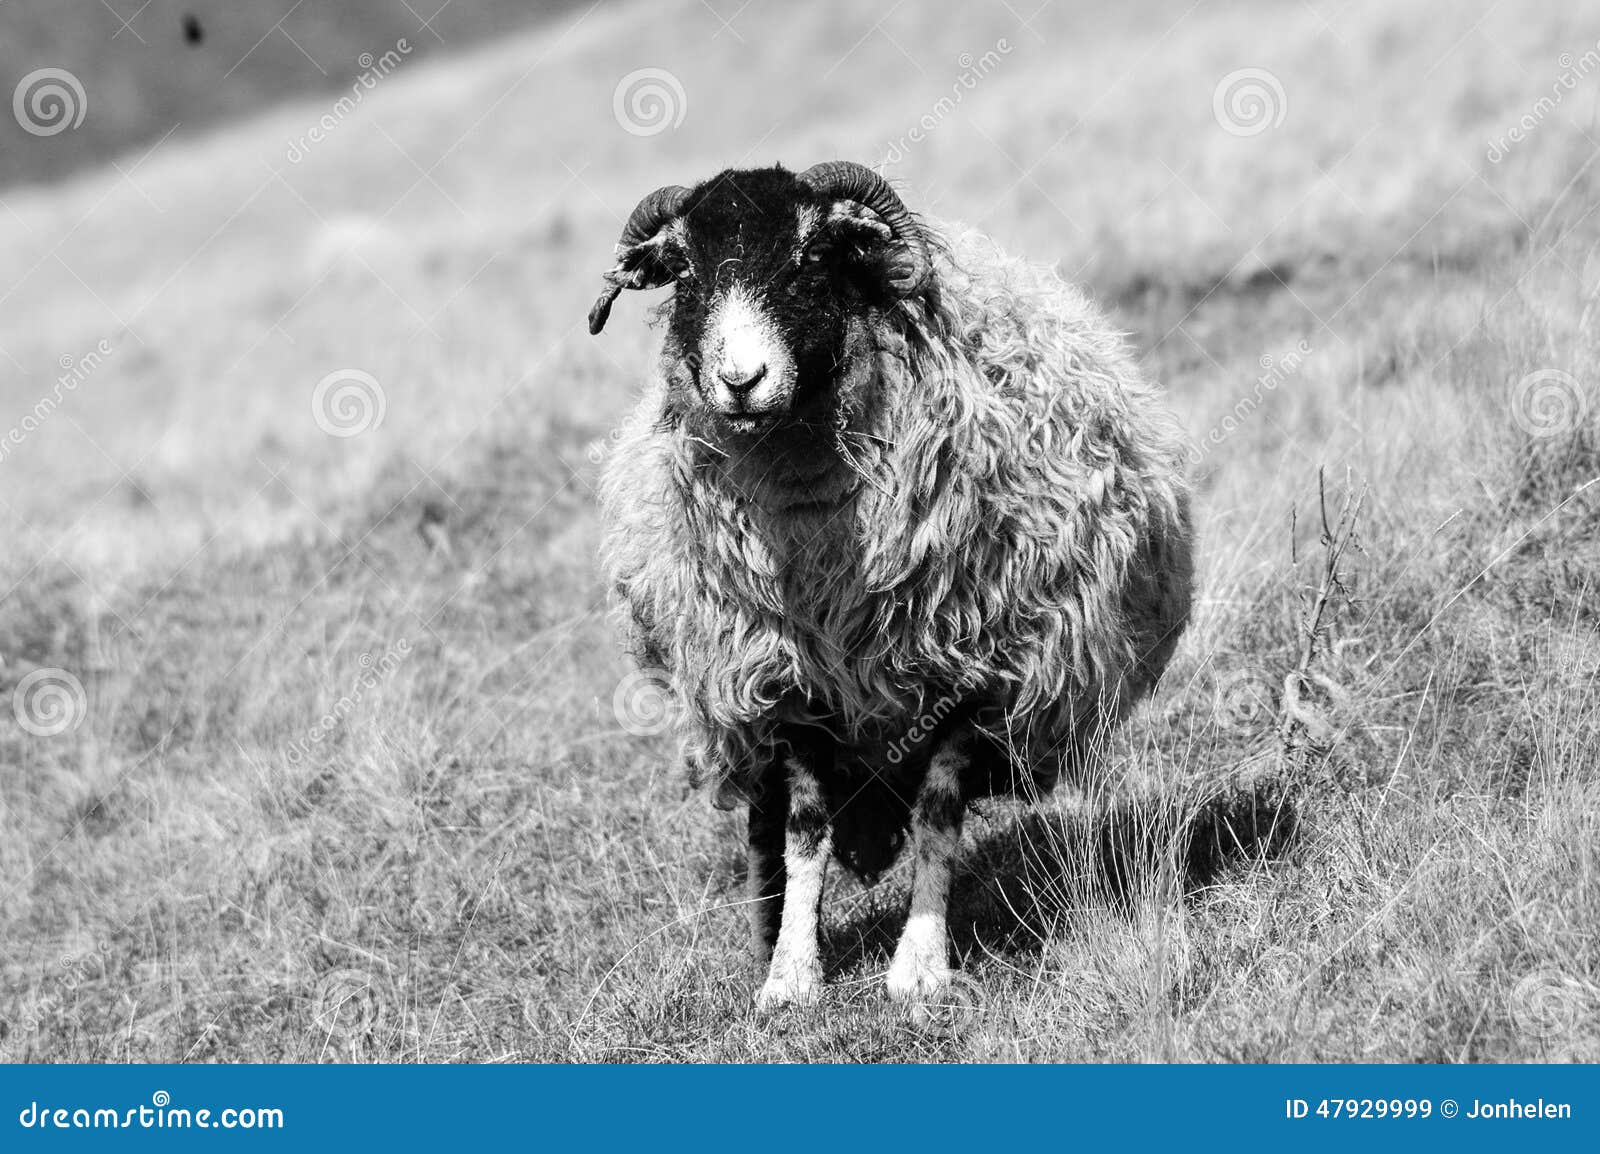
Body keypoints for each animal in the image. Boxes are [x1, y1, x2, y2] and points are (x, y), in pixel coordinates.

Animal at [588, 161, 1194, 1010]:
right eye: (687, 273)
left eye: (811, 261)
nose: (741, 382)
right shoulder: (786, 689)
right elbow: (803, 832)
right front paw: (790, 978)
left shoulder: (975, 672)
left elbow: (939, 816)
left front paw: (919, 968)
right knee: (765, 829)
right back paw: (763, 938)